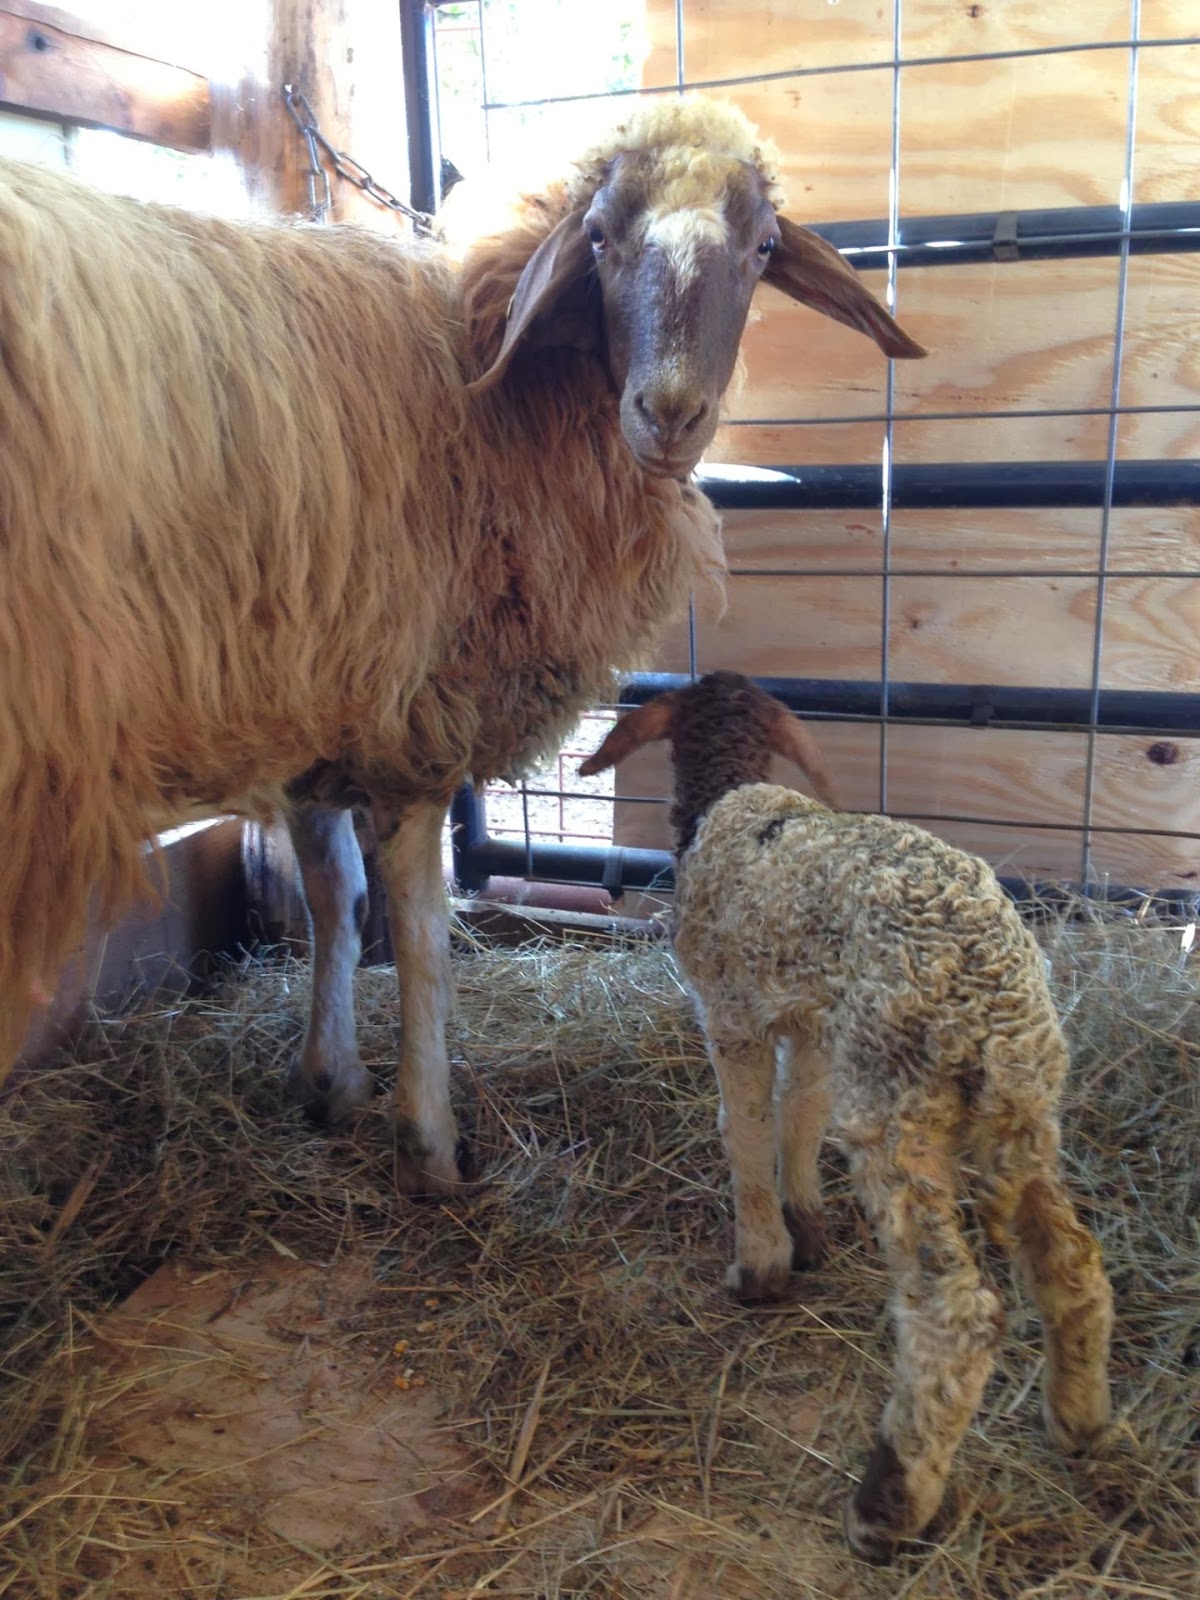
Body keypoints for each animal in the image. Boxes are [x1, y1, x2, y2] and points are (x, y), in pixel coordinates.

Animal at [0, 98, 924, 1193]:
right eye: (598, 237)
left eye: (765, 246)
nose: (668, 414)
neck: (493, 390)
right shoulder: (415, 706)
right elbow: (418, 931)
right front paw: (427, 1135)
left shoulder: (319, 683)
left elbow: (333, 897)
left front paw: (330, 1079)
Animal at [580, 671, 1114, 1563]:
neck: (729, 791)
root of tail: (986, 995)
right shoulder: (815, 1017)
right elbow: (799, 1111)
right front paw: (807, 1228)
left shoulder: (731, 1010)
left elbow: (746, 1130)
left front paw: (760, 1264)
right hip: (1022, 1110)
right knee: (1071, 1265)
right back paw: (1079, 1422)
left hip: (901, 1105)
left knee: (954, 1315)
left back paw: (887, 1505)